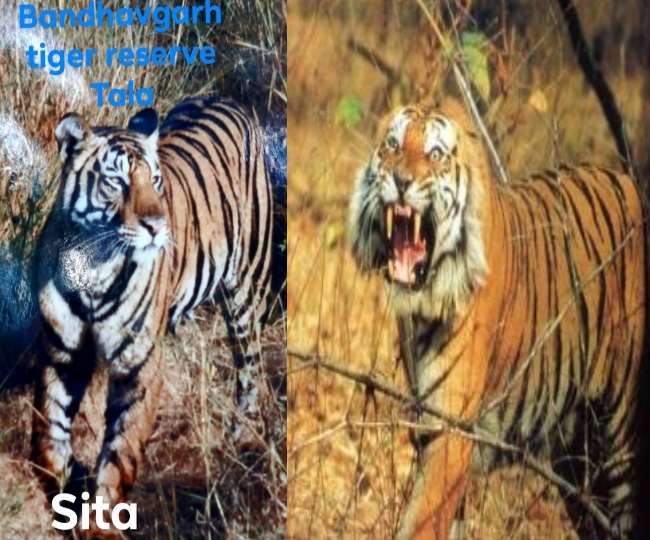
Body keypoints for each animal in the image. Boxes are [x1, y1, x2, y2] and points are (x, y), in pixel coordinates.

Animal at [32, 95, 273, 533]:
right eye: (116, 181)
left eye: (155, 180)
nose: (158, 226)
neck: (92, 264)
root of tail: (225, 98)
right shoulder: (61, 353)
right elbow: (51, 432)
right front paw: (66, 488)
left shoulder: (138, 363)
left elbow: (120, 448)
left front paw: (101, 525)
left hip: (246, 287)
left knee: (250, 367)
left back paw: (242, 439)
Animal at [349, 98, 646, 539]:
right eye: (392, 145)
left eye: (434, 154)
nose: (400, 181)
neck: (423, 304)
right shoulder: (430, 426)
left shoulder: (450, 431)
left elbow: (420, 522)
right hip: (578, 461)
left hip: (624, 440)